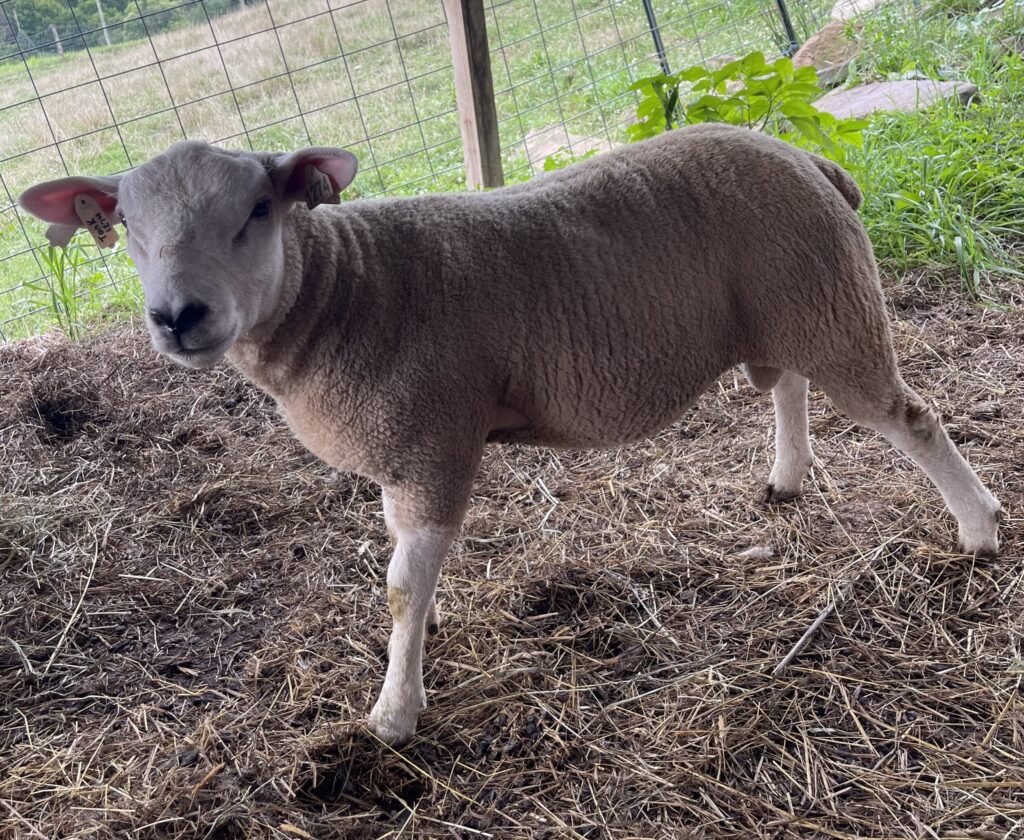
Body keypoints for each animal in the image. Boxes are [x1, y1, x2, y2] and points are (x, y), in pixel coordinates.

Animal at [19, 124, 1001, 745]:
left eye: (258, 210)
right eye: (127, 227)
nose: (176, 316)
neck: (340, 292)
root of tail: (808, 158)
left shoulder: (430, 438)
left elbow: (398, 583)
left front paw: (395, 711)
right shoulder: (403, 455)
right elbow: (406, 567)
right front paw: (421, 639)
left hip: (828, 298)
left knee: (912, 419)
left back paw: (979, 527)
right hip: (783, 309)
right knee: (788, 383)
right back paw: (787, 477)